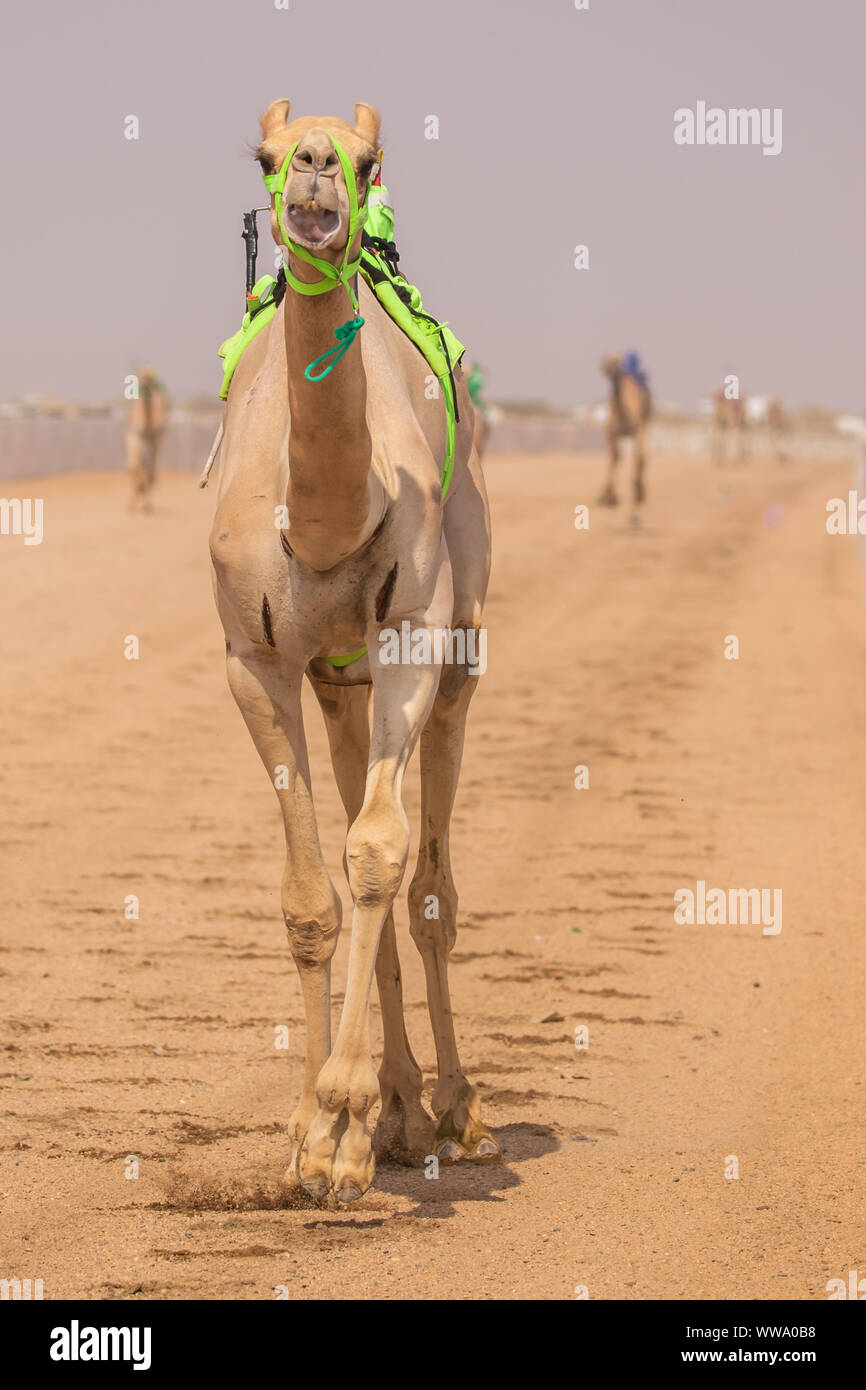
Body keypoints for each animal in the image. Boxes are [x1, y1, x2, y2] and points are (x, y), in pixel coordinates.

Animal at [125, 366, 167, 511]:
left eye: (152, 377)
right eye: (141, 375)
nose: (146, 387)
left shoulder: (156, 438)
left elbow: (150, 470)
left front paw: (148, 504)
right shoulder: (134, 435)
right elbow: (135, 466)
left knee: (152, 468)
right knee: (135, 466)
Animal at [208, 99, 497, 1203]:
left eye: (372, 161)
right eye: (265, 156)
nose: (317, 173)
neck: (326, 526)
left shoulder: (413, 634)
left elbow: (379, 857)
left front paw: (339, 1129)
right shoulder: (253, 661)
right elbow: (310, 898)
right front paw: (311, 1129)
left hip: (456, 655)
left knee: (429, 889)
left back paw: (452, 1112)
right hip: (338, 686)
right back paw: (401, 1109)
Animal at [597, 352, 652, 506]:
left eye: (617, 361)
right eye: (605, 361)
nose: (608, 369)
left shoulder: (637, 429)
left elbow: (635, 457)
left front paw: (634, 496)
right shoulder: (611, 433)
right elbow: (614, 458)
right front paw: (608, 497)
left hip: (645, 424)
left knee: (642, 456)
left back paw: (639, 493)